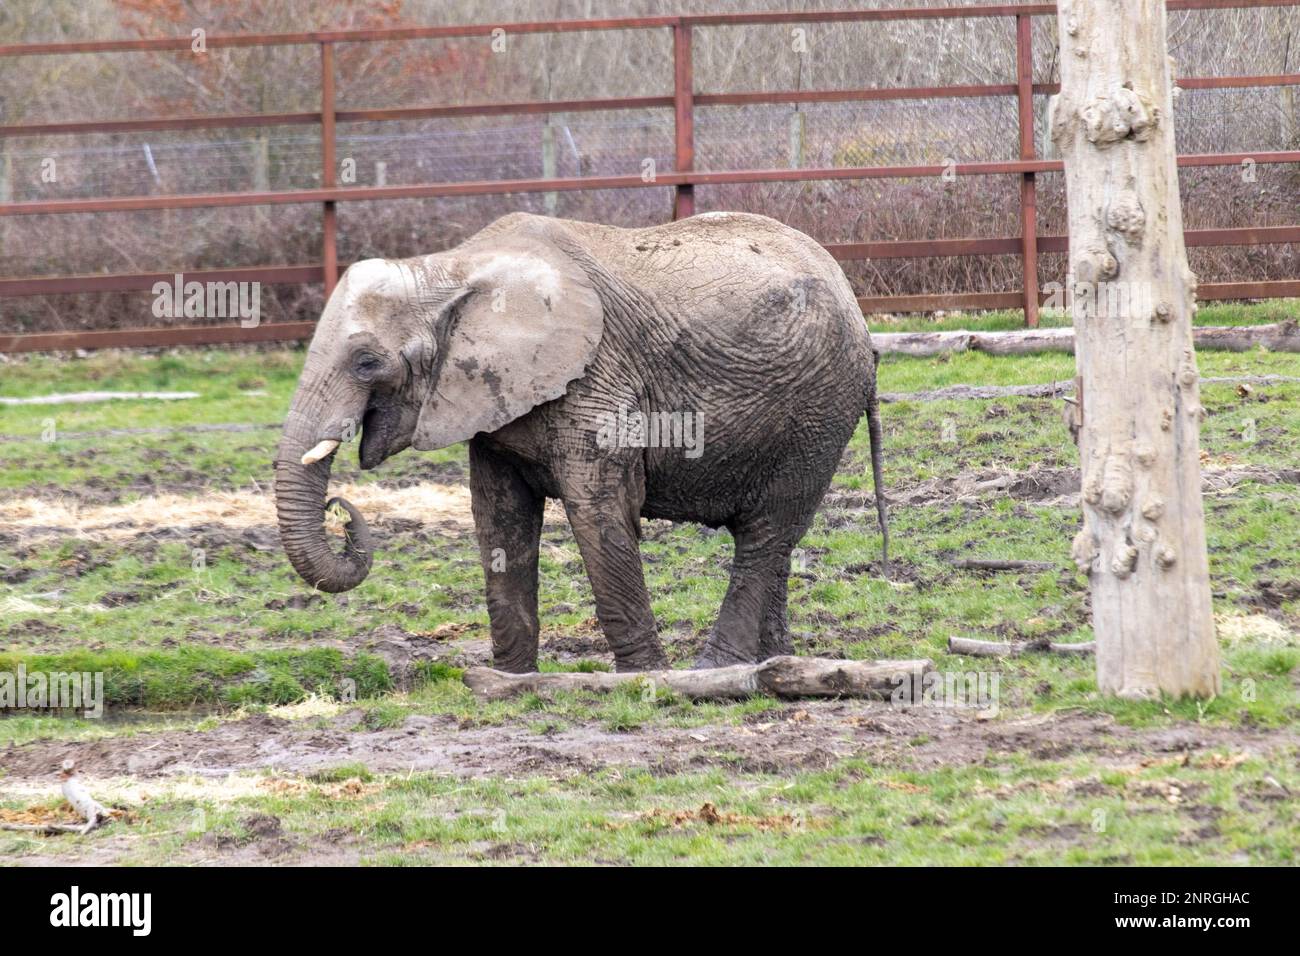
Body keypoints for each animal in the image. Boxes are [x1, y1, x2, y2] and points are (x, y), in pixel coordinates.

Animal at [274, 211, 887, 673]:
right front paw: (510, 682)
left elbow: (600, 512)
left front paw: (646, 678)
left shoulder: (597, 377)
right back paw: (775, 663)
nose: (337, 508)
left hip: (819, 406)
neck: (452, 266)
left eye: (366, 362)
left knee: (766, 533)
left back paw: (714, 671)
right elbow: (499, 521)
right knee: (774, 540)